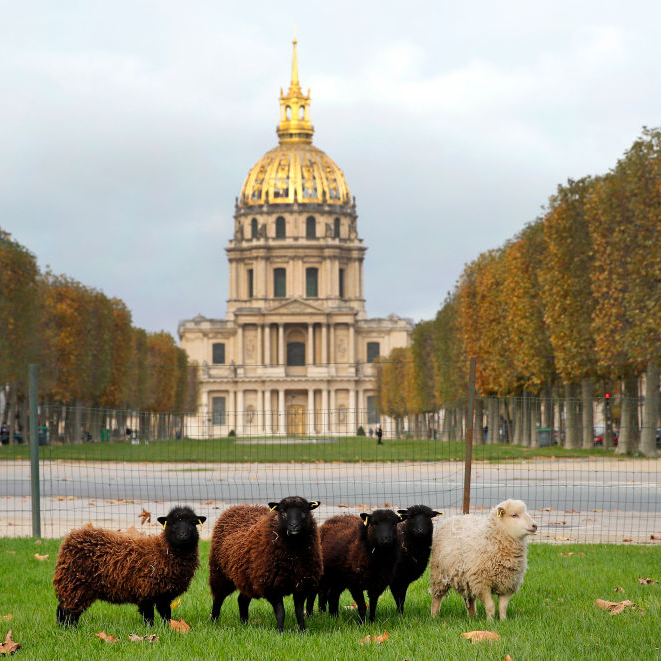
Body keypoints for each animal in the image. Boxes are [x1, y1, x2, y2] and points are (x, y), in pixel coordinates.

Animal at [53, 506, 206, 626]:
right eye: (172, 523)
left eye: (193, 523)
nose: (183, 534)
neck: (163, 550)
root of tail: (69, 539)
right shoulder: (145, 590)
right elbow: (148, 617)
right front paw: (151, 631)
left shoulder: (163, 595)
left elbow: (166, 615)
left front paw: (168, 628)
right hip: (74, 585)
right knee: (66, 611)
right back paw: (69, 629)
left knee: (66, 611)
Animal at [208, 496, 322, 633]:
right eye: (283, 511)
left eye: (305, 511)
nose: (294, 525)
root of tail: (236, 507)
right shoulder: (271, 586)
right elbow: (281, 612)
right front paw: (280, 632)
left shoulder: (301, 584)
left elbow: (299, 612)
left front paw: (303, 631)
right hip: (220, 573)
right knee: (218, 598)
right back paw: (214, 621)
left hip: (247, 577)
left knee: (242, 599)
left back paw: (244, 623)